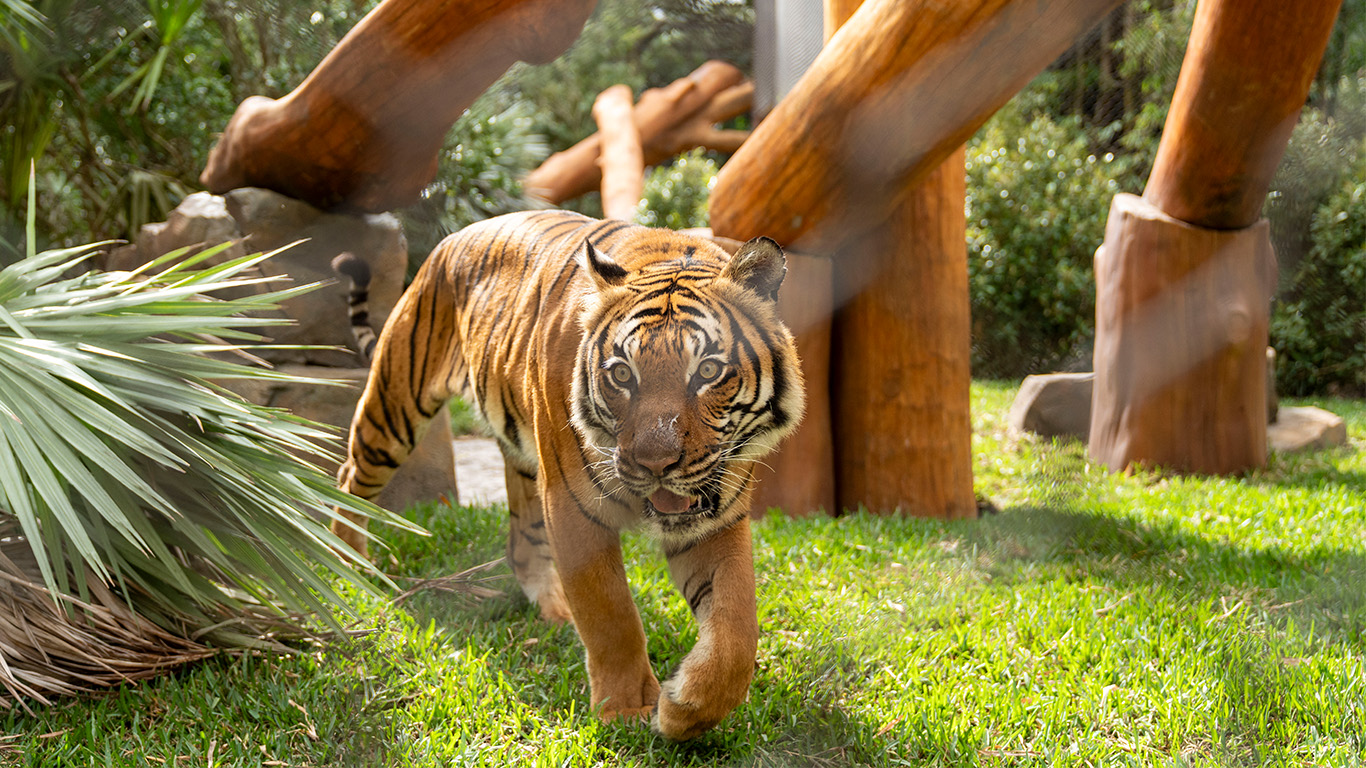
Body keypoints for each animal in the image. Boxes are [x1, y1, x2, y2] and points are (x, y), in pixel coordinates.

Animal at [331, 210, 805, 741]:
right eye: (622, 375)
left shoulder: (715, 521)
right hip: (395, 407)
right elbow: (609, 611)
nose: (655, 464)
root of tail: (451, 240)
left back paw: (554, 612)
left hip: (521, 455)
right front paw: (627, 708)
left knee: (521, 540)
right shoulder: (575, 506)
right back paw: (349, 566)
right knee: (349, 477)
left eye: (706, 371)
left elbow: (737, 626)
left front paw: (687, 708)